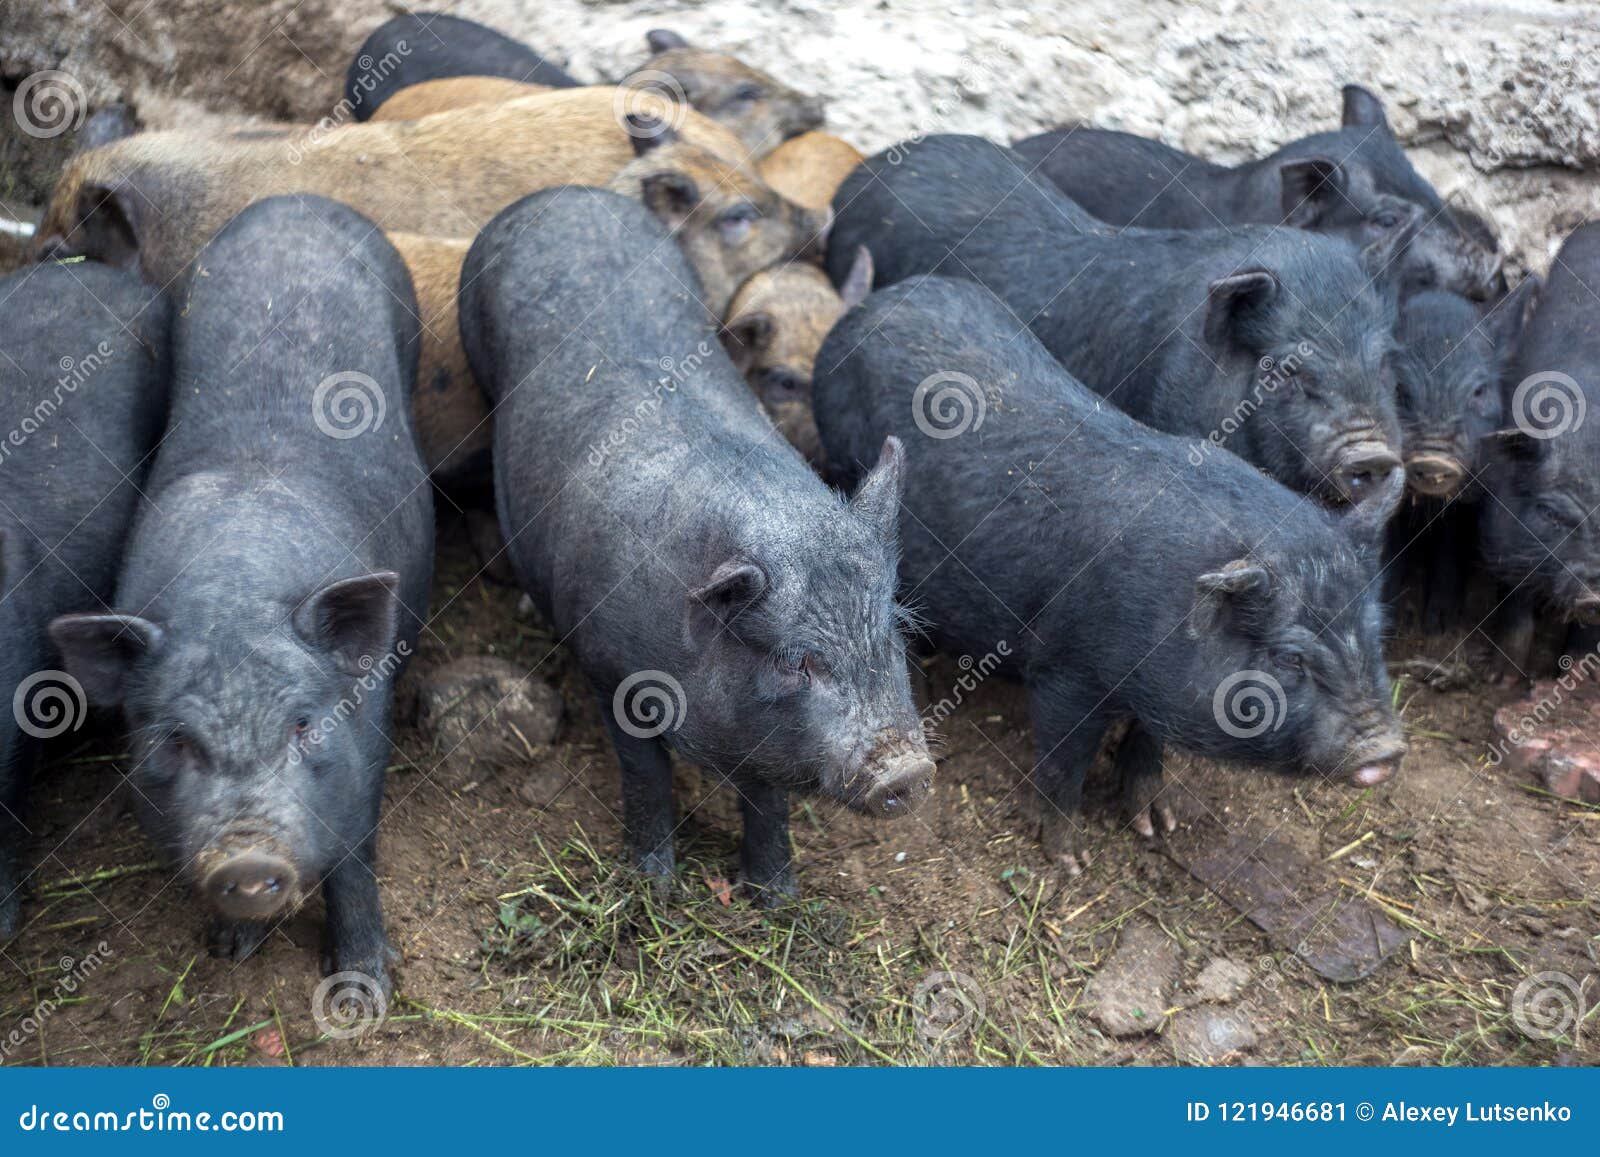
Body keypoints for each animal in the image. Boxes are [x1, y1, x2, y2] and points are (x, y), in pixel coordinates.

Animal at [49, 196, 434, 996]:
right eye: (176, 740)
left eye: (304, 727)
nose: (249, 856)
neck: (234, 585)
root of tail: (299, 199)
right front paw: (230, 949)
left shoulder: (369, 729)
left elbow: (355, 853)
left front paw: (366, 989)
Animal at [813, 274, 1407, 870]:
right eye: (1288, 657)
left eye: (1375, 633)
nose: (1386, 750)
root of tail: (869, 305)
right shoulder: (1063, 669)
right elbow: (1063, 759)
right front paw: (1069, 859)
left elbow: (1148, 746)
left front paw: (1157, 826)